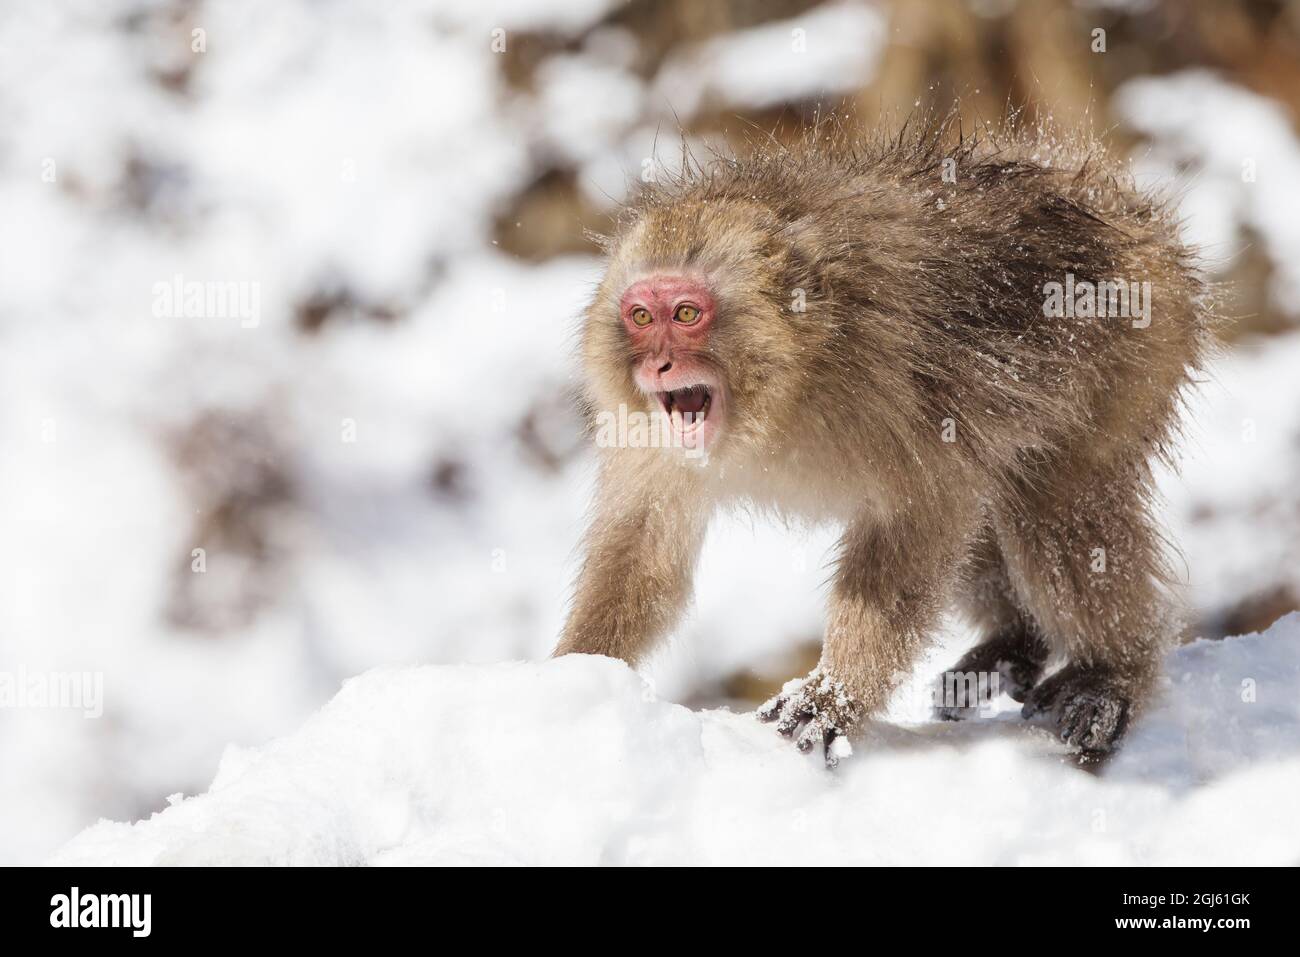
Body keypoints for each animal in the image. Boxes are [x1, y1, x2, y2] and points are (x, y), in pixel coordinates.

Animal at [553, 117, 1212, 766]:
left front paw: (831, 697)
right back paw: (1013, 644)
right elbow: (642, 547)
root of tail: (1121, 206)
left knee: (1057, 503)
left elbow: (920, 515)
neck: (790, 383)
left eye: (686, 314)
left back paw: (1112, 675)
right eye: (642, 317)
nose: (658, 364)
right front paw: (571, 677)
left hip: (1137, 345)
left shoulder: (891, 379)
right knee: (993, 493)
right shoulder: (643, 432)